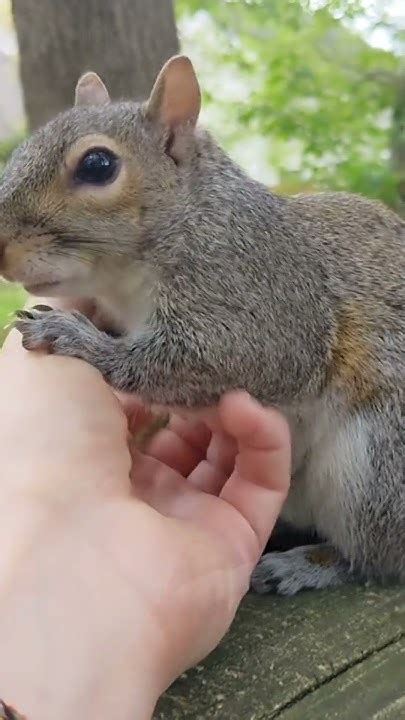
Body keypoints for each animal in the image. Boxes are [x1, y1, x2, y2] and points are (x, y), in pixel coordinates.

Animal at [1, 55, 404, 596]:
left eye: (98, 165)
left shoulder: (261, 294)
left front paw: (75, 338)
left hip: (374, 467)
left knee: (375, 555)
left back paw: (310, 562)